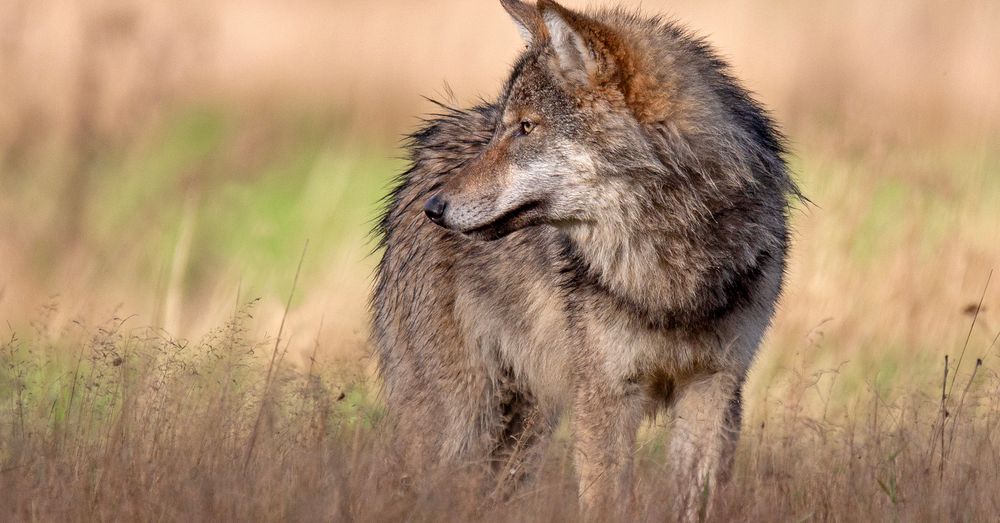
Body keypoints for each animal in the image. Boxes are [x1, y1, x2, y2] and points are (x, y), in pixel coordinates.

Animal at [373, 0, 798, 517]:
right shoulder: (605, 398)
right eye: (505, 128)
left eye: (526, 127)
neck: (669, 274)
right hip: (461, 421)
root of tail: (420, 161)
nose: (435, 208)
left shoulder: (715, 387)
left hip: (524, 429)